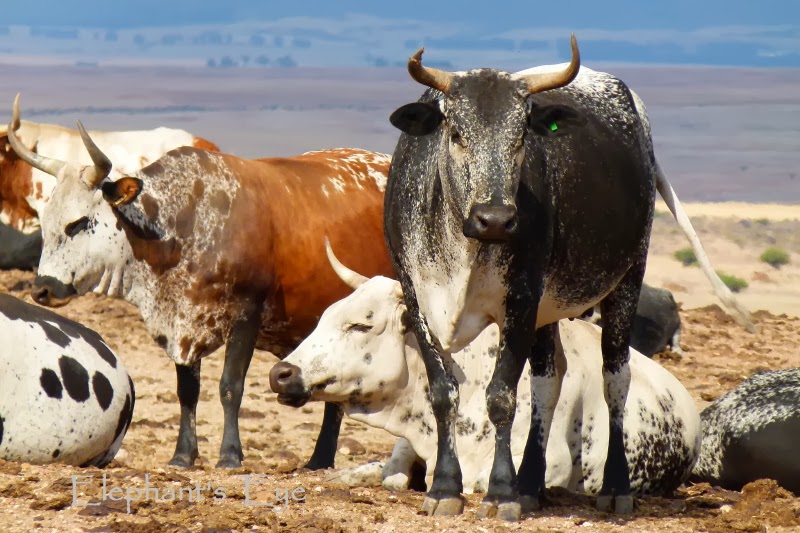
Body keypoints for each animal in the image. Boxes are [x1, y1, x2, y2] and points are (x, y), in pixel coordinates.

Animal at [383, 35, 753, 519]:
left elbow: (502, 396)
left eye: (521, 136)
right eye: (456, 134)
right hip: (549, 308)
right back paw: (530, 484)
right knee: (549, 379)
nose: (495, 219)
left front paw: (500, 493)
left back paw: (614, 488)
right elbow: (444, 394)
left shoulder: (521, 300)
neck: (464, 247)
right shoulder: (417, 296)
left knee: (615, 377)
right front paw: (446, 488)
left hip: (626, 279)